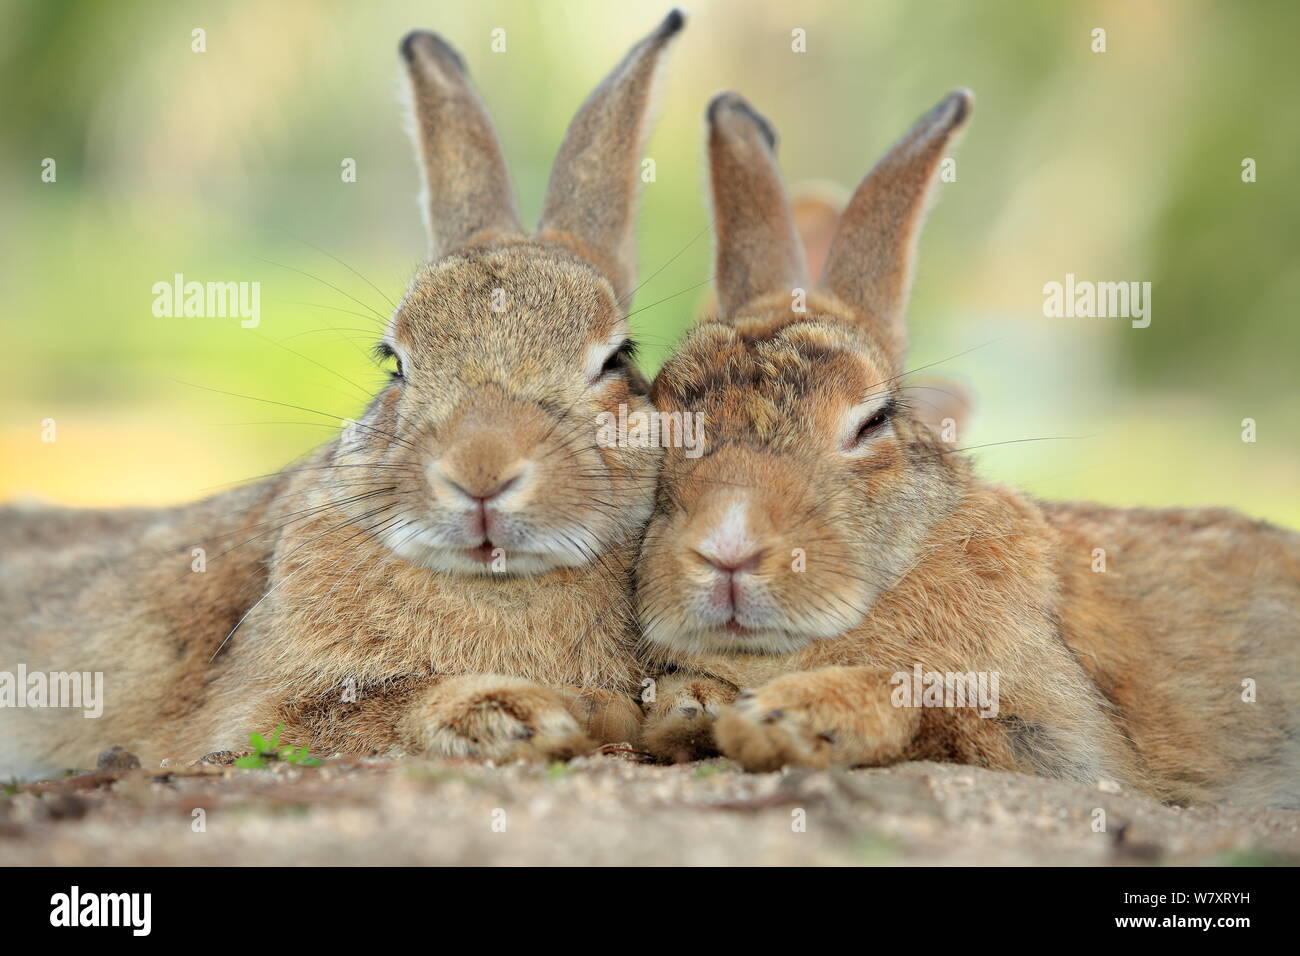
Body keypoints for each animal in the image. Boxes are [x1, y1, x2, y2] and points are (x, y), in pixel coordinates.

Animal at [634, 89, 1300, 808]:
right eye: (658, 415)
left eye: (872, 422)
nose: (728, 549)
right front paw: (688, 707)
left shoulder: (1059, 738)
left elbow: (927, 700)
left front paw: (790, 717)